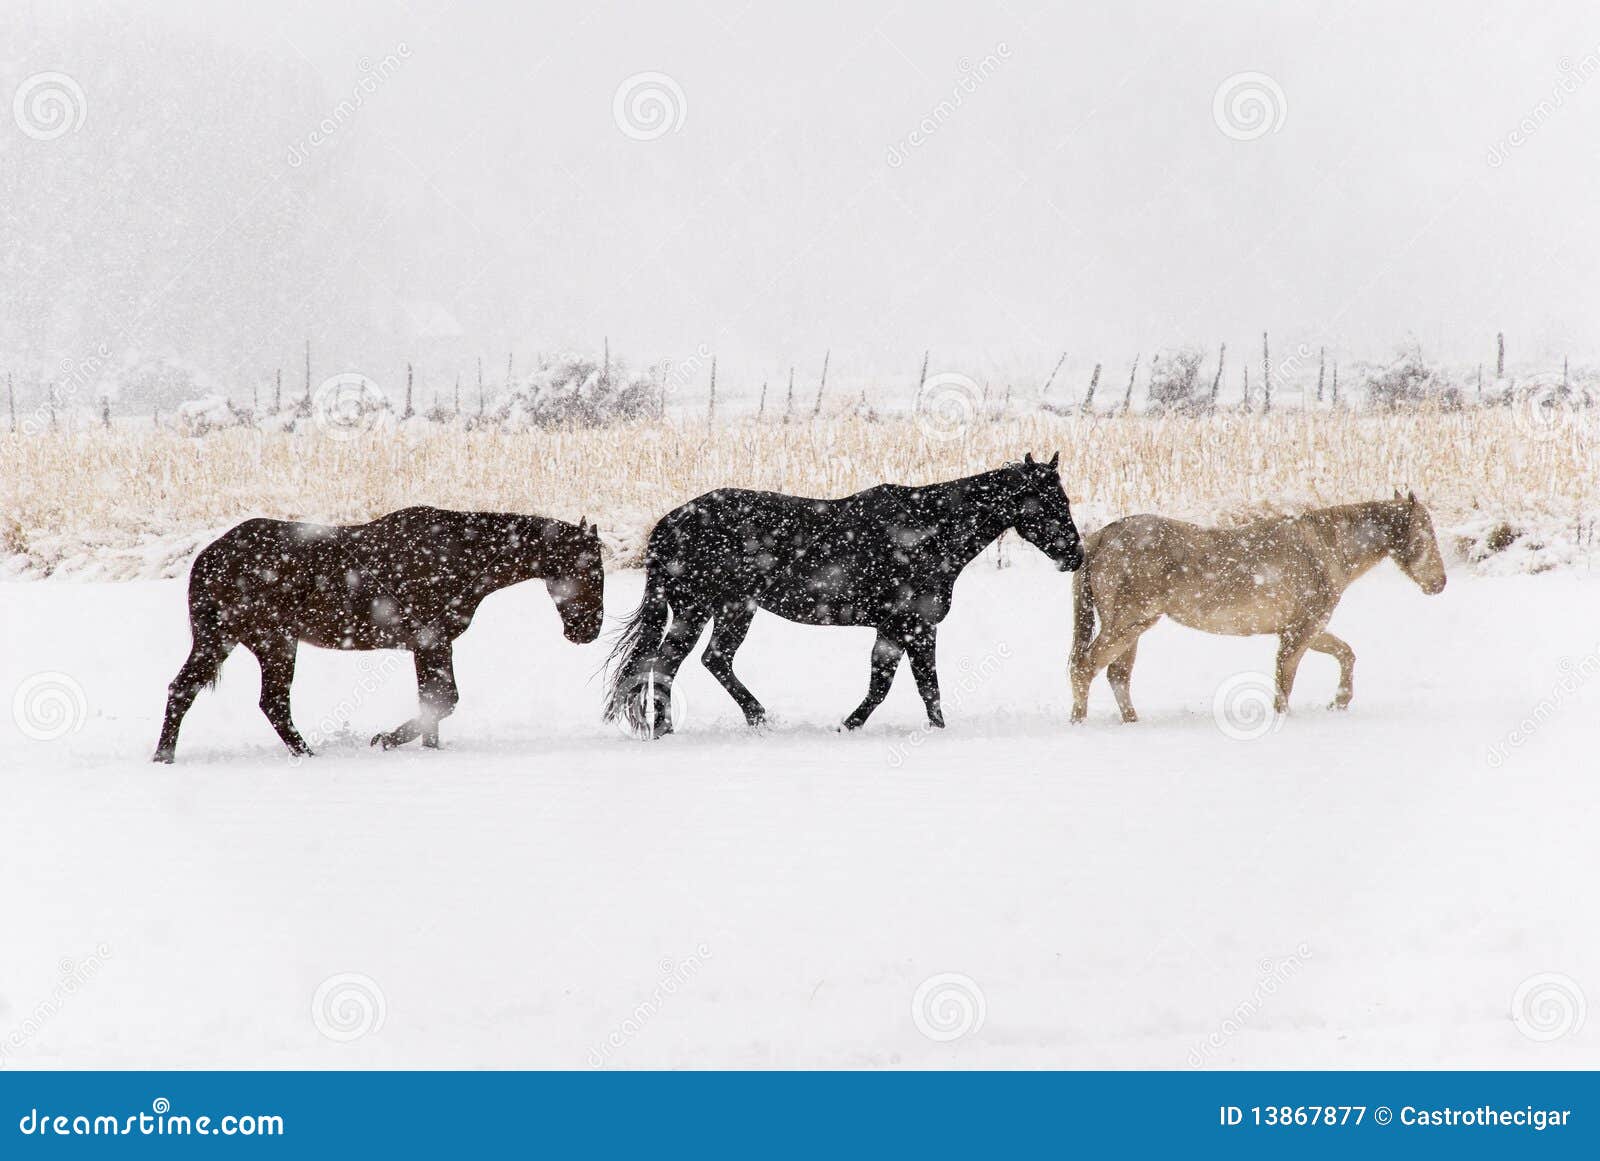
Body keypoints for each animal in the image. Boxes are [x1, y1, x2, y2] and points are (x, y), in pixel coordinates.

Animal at [152, 506, 605, 762]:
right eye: (589, 571)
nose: (588, 630)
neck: (458, 554)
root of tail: (209, 555)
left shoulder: (428, 646)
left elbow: (433, 701)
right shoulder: (432, 641)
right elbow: (444, 700)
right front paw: (386, 739)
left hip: (242, 642)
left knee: (214, 695)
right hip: (259, 642)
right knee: (251, 700)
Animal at [604, 453, 1084, 737]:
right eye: (1053, 502)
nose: (1075, 556)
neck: (928, 530)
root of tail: (668, 524)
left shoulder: (901, 629)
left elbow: (895, 684)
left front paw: (858, 725)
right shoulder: (912, 625)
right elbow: (915, 686)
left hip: (731, 609)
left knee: (708, 660)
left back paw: (756, 718)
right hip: (700, 608)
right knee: (667, 665)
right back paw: (668, 728)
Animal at [1069, 491, 1447, 723]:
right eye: (1427, 534)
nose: (1440, 583)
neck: (1326, 548)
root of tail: (1103, 535)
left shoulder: (1306, 629)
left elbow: (1346, 654)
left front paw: (1339, 702)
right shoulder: (1302, 630)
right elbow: (1285, 680)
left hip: (1132, 629)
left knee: (1116, 676)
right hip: (1127, 625)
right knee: (1084, 668)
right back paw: (1079, 722)